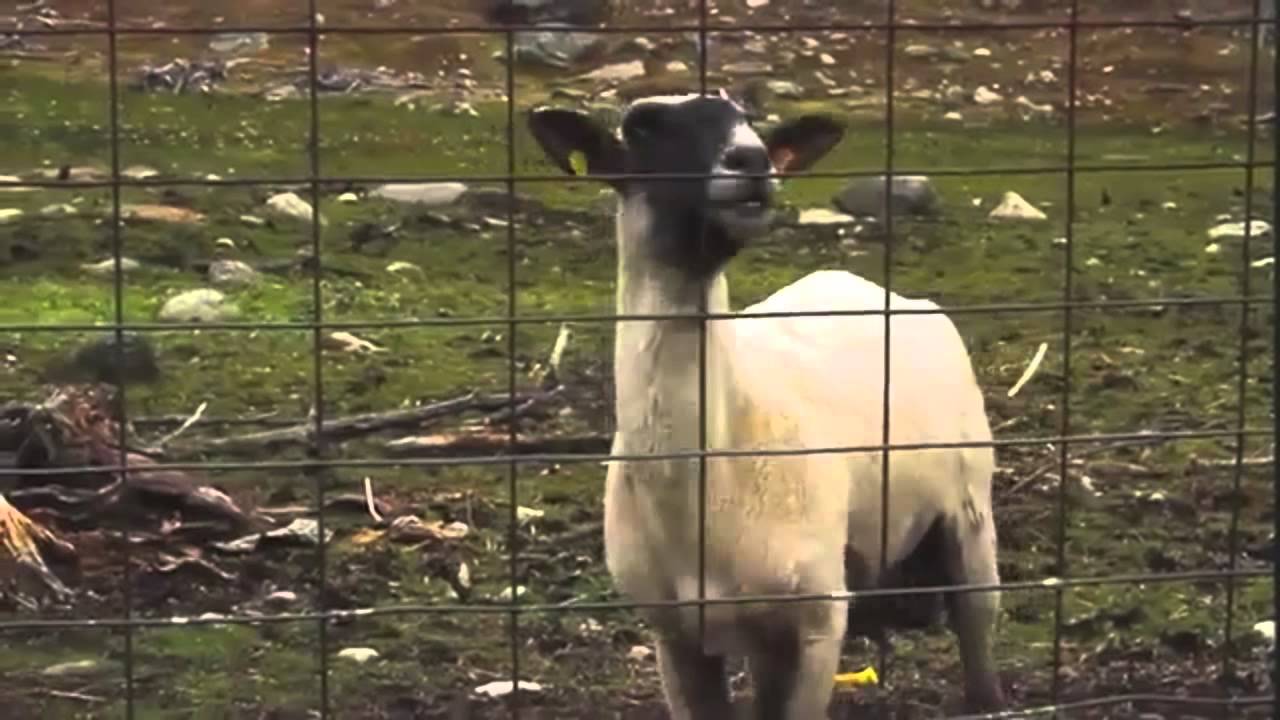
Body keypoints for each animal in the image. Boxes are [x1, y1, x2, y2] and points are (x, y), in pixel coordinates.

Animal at [527, 92, 1005, 719]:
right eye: (642, 127)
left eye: (748, 119)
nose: (751, 161)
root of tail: (867, 285)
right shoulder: (674, 634)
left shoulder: (819, 619)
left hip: (968, 512)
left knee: (977, 630)